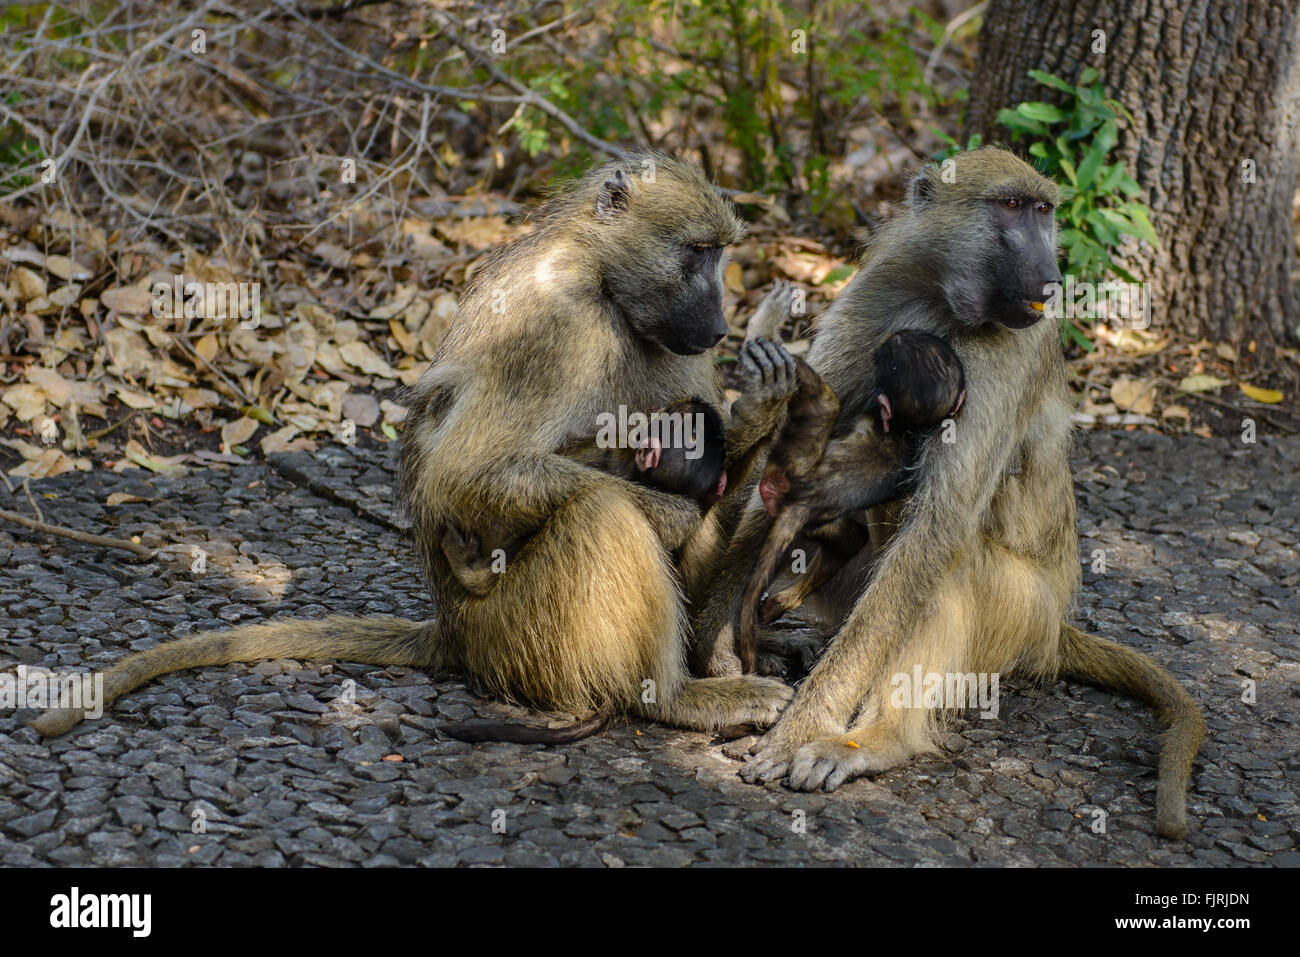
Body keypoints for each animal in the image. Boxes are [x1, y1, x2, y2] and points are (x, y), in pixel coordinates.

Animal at [734, 331, 966, 673]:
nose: (895, 336)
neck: (906, 428)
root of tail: (805, 496)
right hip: (821, 518)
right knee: (851, 539)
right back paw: (782, 603)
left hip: (793, 464)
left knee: (825, 403)